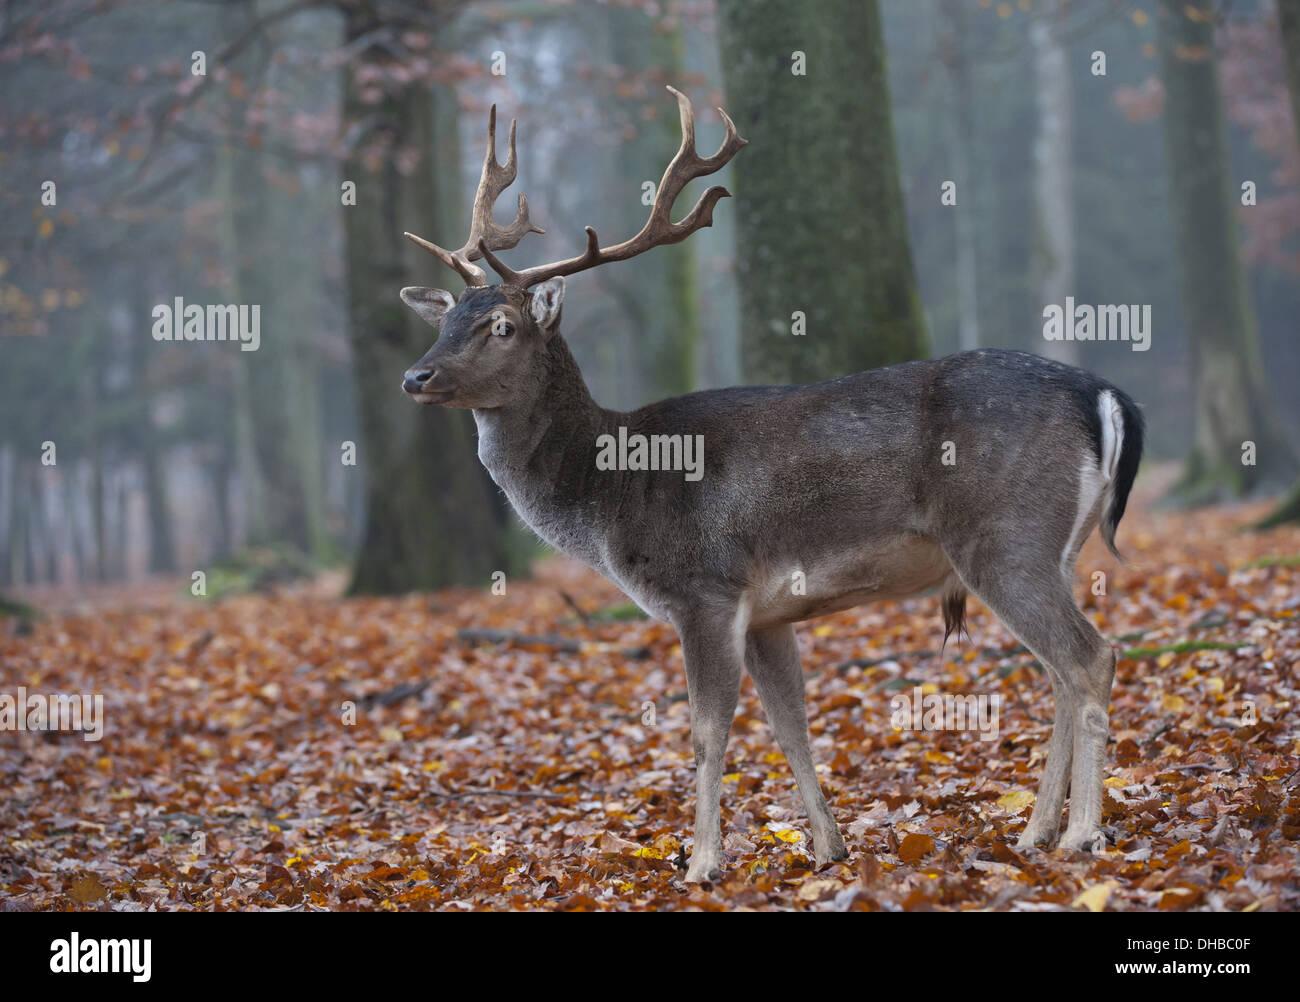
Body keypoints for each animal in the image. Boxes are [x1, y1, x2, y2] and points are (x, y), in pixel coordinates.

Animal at [398, 87, 1144, 883]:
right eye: (446, 320)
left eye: (501, 326)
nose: (416, 376)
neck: (615, 491)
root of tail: (1103, 396)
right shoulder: (767, 613)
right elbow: (791, 727)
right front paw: (827, 848)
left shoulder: (706, 589)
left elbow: (706, 733)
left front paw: (701, 864)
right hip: (1054, 546)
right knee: (1060, 670)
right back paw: (1034, 834)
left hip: (1004, 538)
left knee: (1089, 657)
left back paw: (1080, 834)